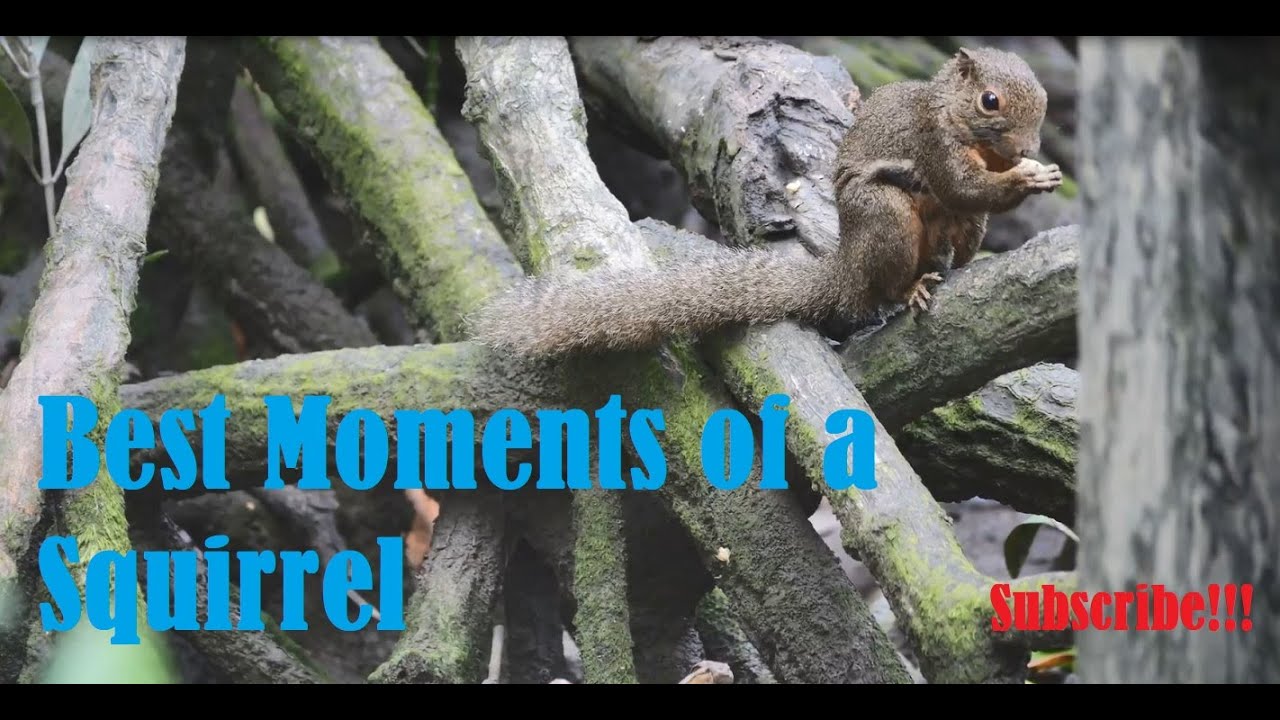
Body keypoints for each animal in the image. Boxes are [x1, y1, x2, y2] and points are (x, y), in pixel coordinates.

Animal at [467, 46, 1063, 358]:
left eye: (1043, 98)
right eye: (990, 101)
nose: (1030, 148)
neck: (952, 115)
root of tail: (847, 269)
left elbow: (974, 190)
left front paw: (1034, 171)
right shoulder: (931, 145)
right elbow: (961, 186)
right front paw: (1029, 179)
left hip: (963, 230)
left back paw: (957, 264)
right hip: (885, 217)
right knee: (887, 283)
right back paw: (910, 287)